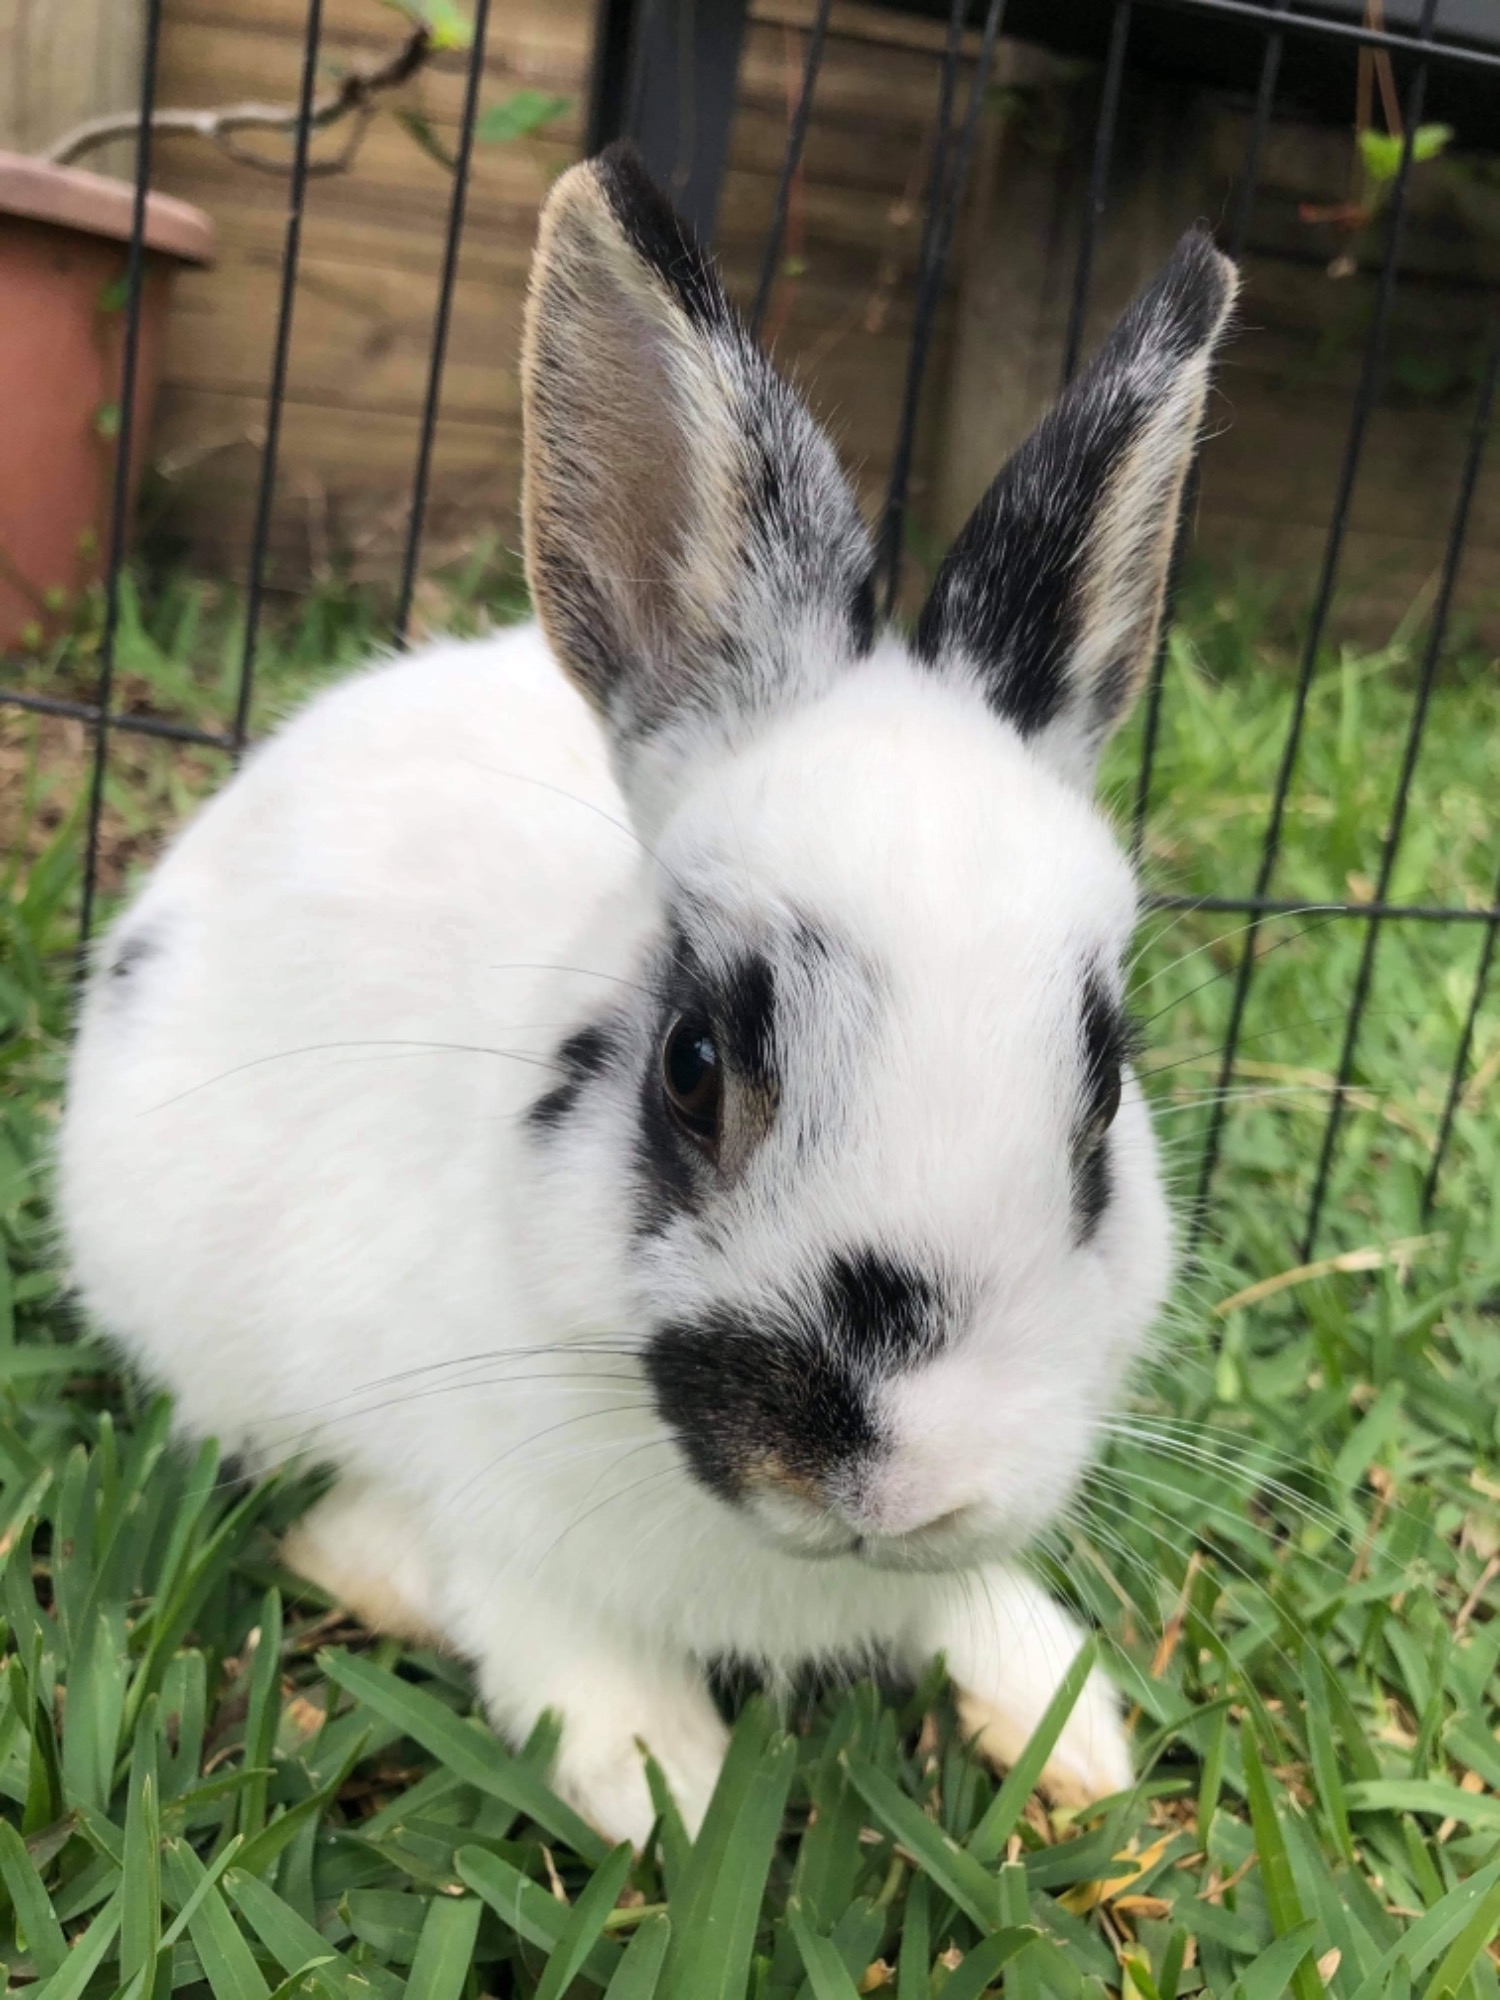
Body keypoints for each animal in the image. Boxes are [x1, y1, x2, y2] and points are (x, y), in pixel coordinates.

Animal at [59, 143, 1237, 1848]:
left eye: (1101, 1098)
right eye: (690, 1064)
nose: (907, 1485)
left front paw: (1066, 1725)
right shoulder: (490, 1502)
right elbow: (544, 1630)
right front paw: (664, 1785)